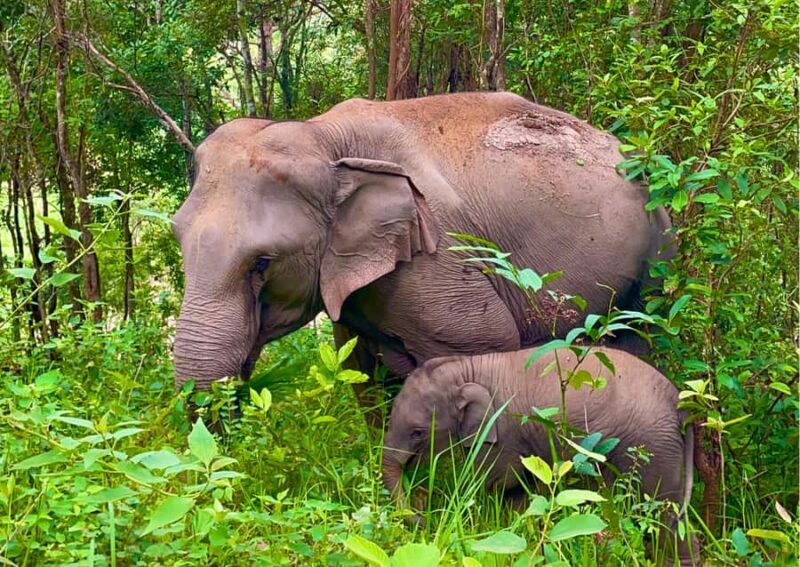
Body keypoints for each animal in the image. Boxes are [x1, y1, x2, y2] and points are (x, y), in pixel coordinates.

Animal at [172, 92, 672, 391]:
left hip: (656, 253)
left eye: (262, 263)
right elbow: (363, 368)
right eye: (178, 237)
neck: (323, 135)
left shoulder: (438, 259)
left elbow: (483, 345)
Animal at [382, 346, 698, 565]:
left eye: (418, 432)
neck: (467, 366)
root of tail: (680, 403)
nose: (426, 519)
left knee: (662, 511)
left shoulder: (502, 430)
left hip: (653, 444)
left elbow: (497, 480)